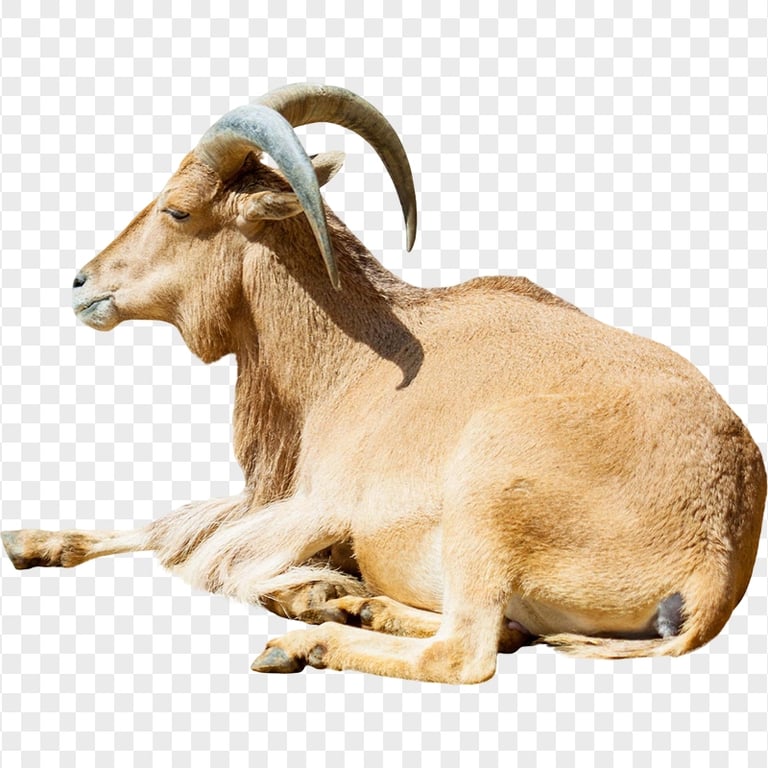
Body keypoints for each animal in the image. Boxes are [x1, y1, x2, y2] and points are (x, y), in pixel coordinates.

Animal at [2, 84, 765, 684]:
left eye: (179, 209)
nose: (80, 285)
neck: (354, 359)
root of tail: (712, 560)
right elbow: (172, 524)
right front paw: (34, 541)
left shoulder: (321, 503)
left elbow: (206, 557)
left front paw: (307, 595)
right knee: (501, 631)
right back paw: (354, 605)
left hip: (485, 495)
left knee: (468, 651)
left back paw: (307, 639)